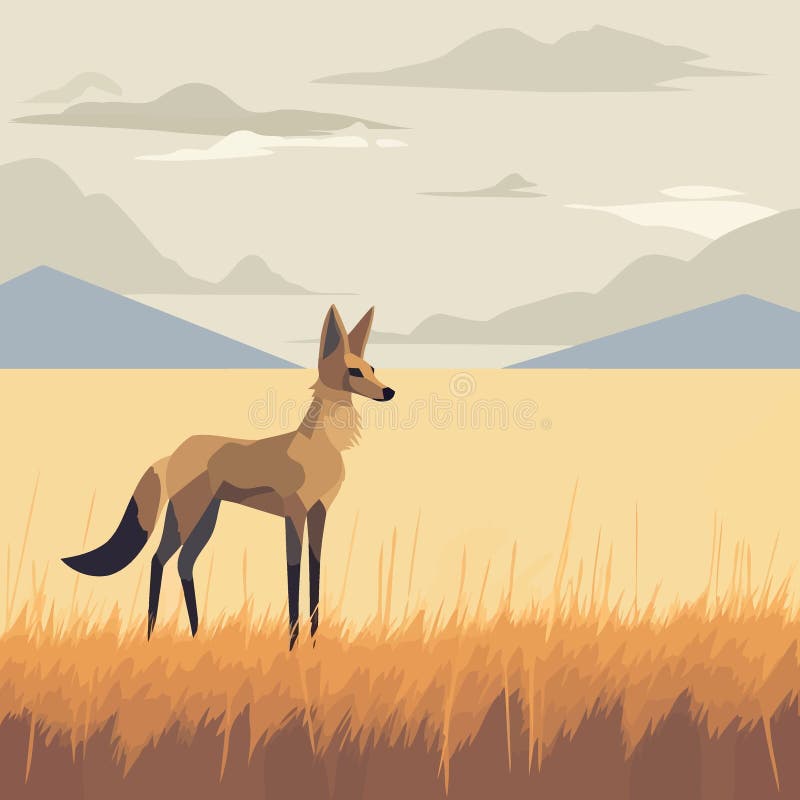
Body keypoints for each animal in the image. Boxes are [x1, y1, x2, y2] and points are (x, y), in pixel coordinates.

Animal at [62, 305, 394, 649]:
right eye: (354, 372)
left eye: (371, 367)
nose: (389, 392)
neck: (320, 448)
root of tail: (175, 451)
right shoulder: (294, 513)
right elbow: (294, 573)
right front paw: (292, 644)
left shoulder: (319, 512)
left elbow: (314, 575)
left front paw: (314, 643)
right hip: (188, 515)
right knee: (158, 559)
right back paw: (152, 635)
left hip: (205, 518)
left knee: (183, 564)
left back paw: (197, 634)